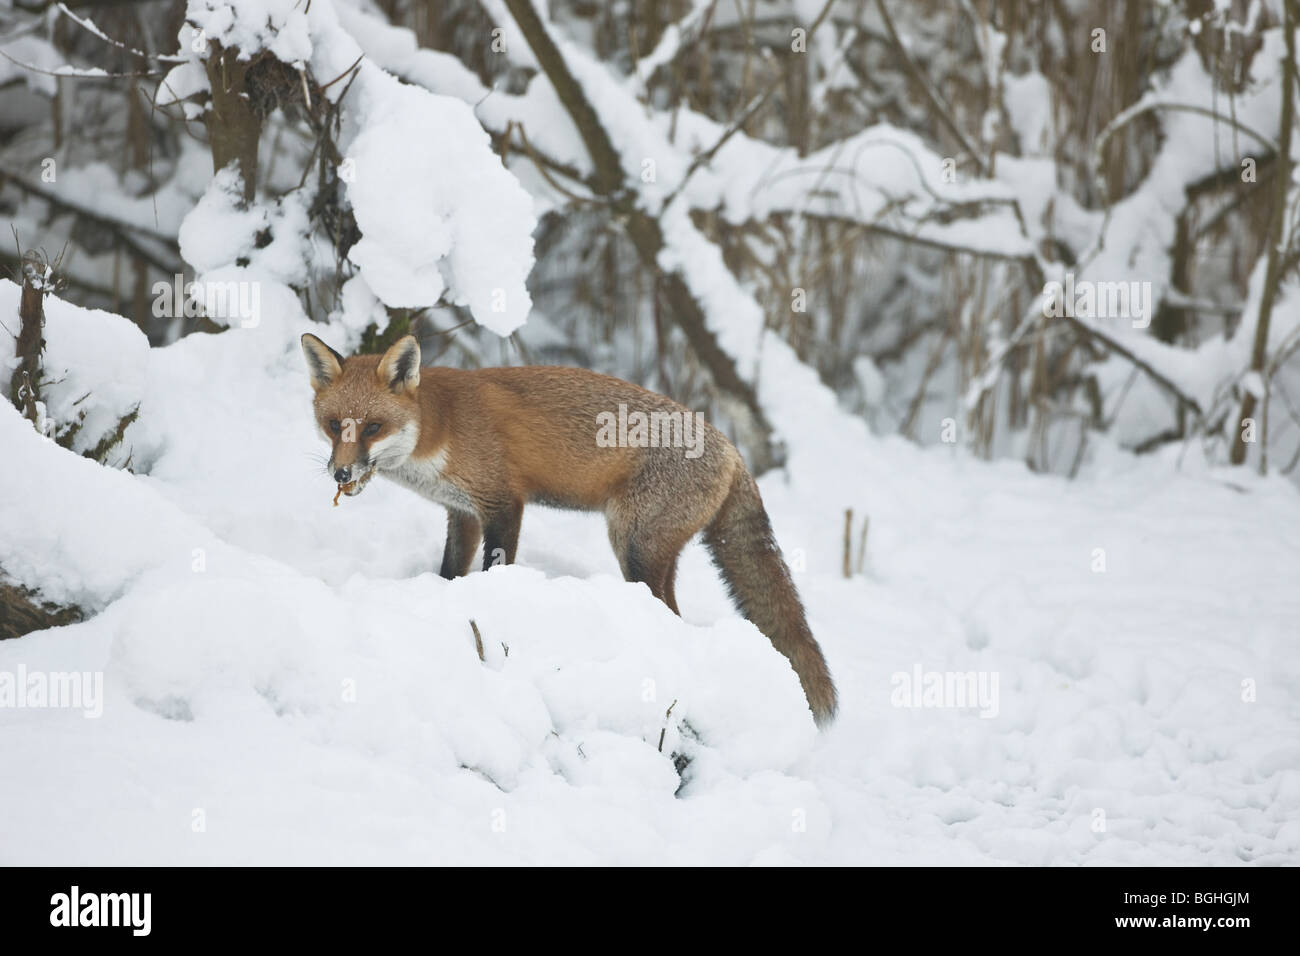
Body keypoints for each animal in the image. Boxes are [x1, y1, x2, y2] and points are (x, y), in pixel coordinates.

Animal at [301, 333, 837, 726]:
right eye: (333, 425)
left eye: (372, 427)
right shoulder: (463, 512)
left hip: (633, 543)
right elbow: (451, 572)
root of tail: (730, 447)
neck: (439, 429)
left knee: (667, 611)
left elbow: (496, 568)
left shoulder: (503, 503)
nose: (340, 475)